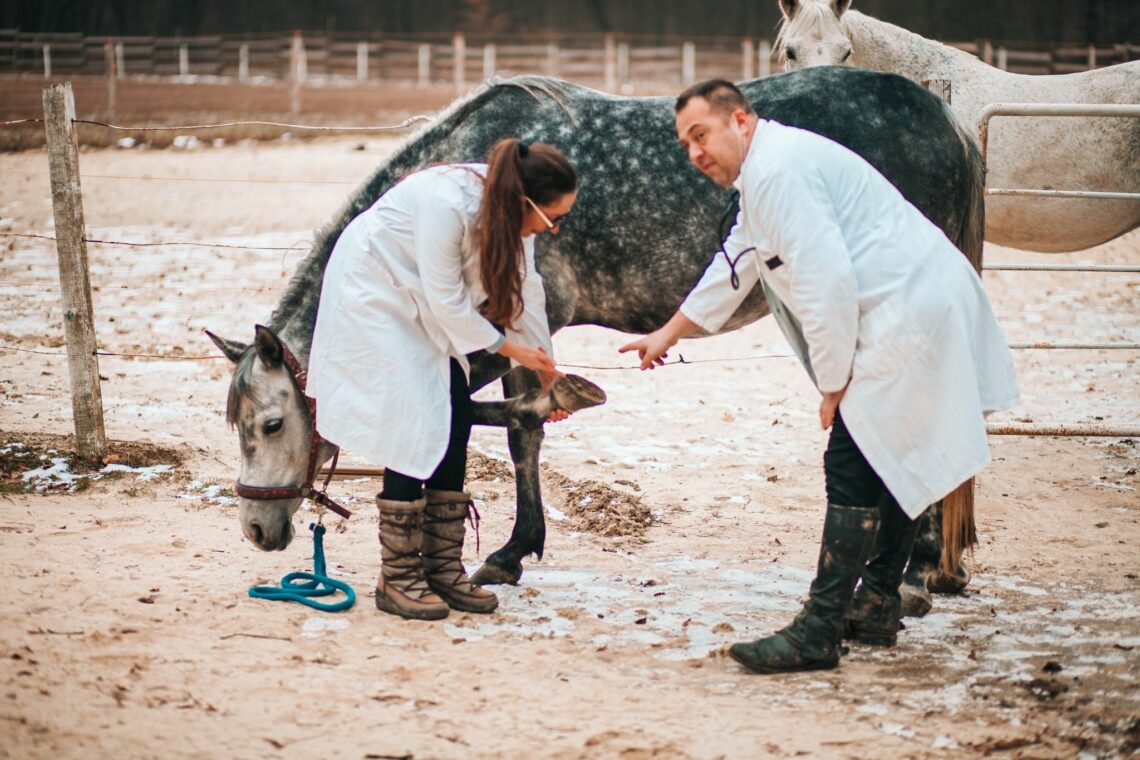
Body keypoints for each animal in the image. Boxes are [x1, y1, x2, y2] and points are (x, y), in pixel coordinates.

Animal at [208, 66, 984, 608]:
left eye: (271, 424)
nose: (256, 530)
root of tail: (943, 116)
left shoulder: (503, 328)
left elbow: (509, 425)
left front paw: (508, 551)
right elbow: (510, 430)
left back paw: (910, 575)